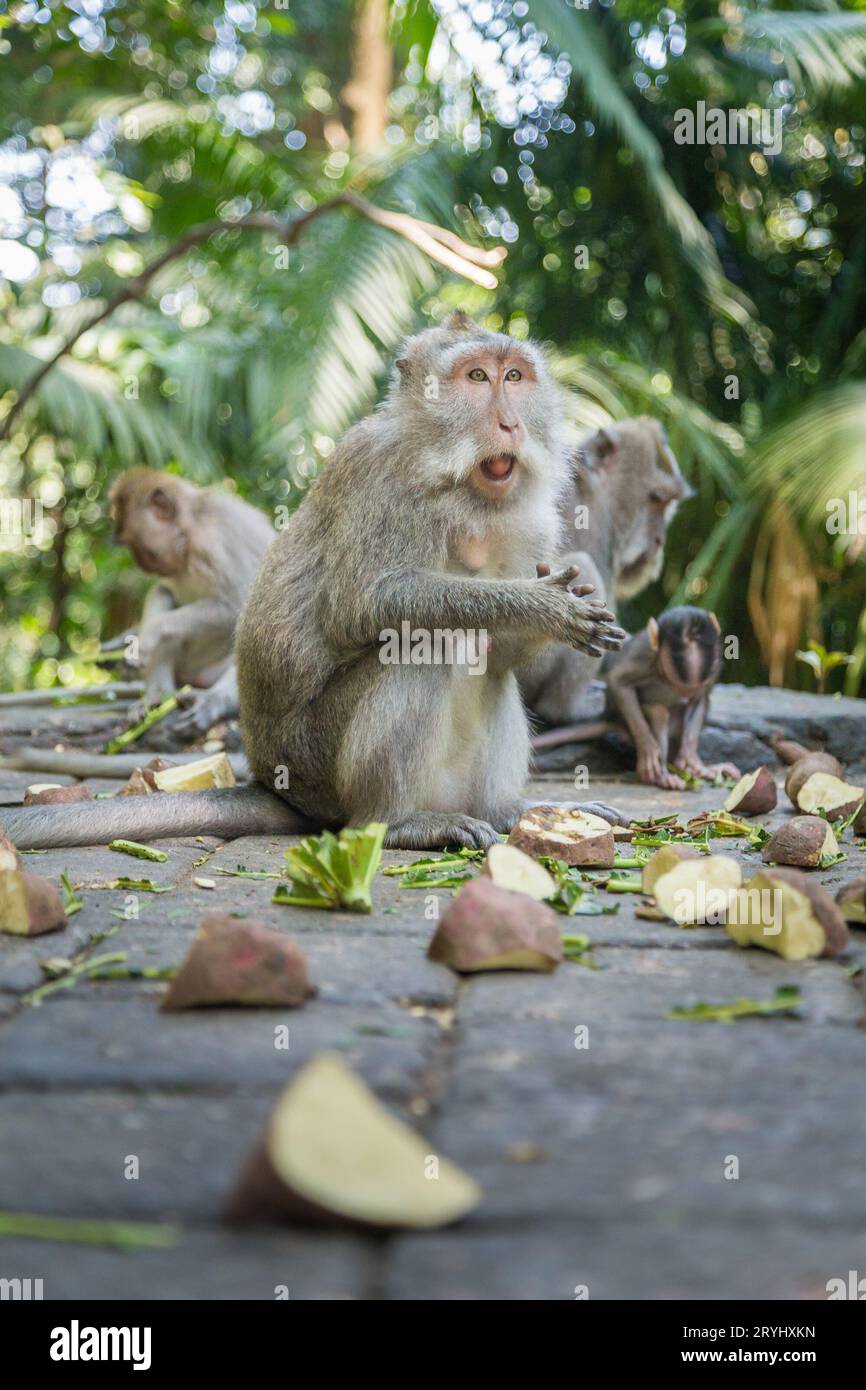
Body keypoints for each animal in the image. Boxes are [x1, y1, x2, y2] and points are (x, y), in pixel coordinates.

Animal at [107, 470, 275, 741]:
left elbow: (238, 607)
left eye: (140, 547)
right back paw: (156, 697)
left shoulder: (215, 540)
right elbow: (165, 590)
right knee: (162, 594)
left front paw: (146, 637)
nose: (142, 564)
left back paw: (215, 701)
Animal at [521, 417, 693, 729]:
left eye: (668, 502)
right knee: (584, 569)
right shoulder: (595, 524)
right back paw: (566, 709)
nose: (659, 539)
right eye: (656, 499)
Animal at [531, 606, 740, 791]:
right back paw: (663, 776)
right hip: (626, 722)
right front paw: (648, 750)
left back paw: (694, 768)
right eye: (673, 682)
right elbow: (619, 682)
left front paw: (691, 758)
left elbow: (701, 698)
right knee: (659, 712)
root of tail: (609, 716)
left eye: (688, 689)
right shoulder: (644, 656)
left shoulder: (713, 667)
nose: (685, 694)